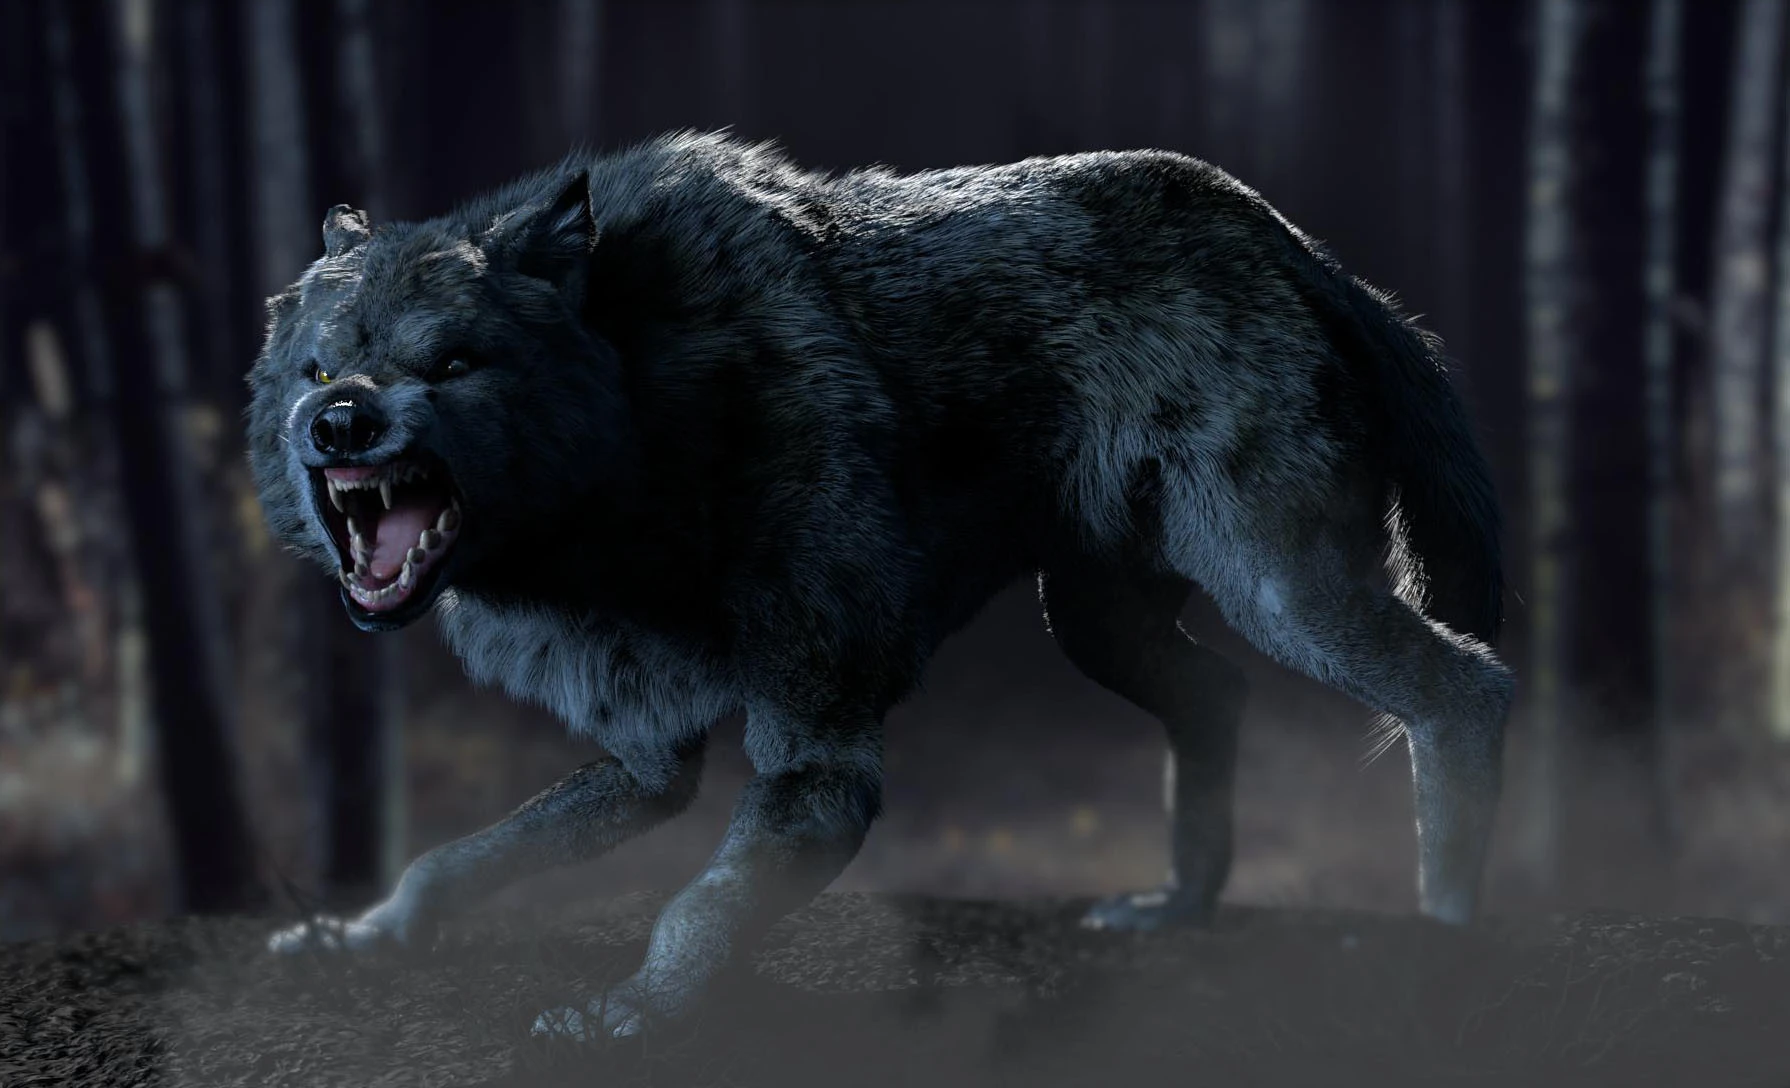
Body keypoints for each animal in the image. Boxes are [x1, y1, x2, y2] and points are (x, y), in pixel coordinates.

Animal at [251, 131, 1512, 1039]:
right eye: (318, 365)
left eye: (451, 362)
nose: (340, 419)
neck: (644, 422)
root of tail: (1303, 249)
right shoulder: (646, 753)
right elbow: (458, 853)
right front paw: (368, 933)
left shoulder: (817, 752)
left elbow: (696, 900)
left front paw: (634, 1011)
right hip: (1094, 617)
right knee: (1219, 695)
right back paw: (1174, 906)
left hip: (1275, 589)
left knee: (1468, 687)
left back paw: (1446, 941)